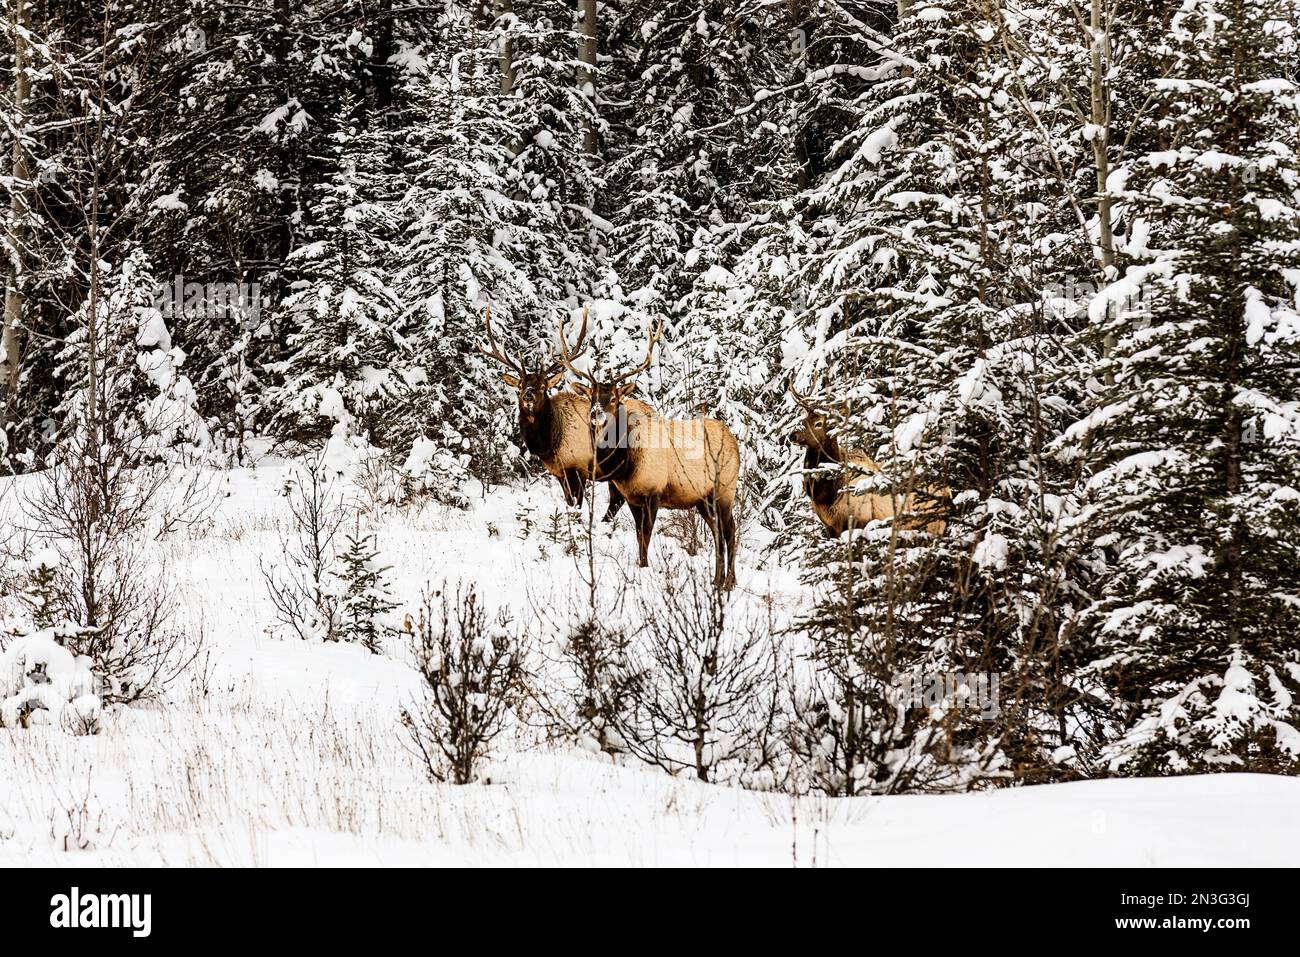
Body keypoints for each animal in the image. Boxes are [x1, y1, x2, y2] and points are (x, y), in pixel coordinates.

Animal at [480, 305, 650, 521]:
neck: (549, 443)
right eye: (520, 386)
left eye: (543, 386)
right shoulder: (559, 472)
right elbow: (569, 503)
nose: (528, 396)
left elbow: (577, 505)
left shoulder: (579, 468)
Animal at [559, 316, 741, 590]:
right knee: (719, 534)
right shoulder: (632, 497)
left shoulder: (653, 493)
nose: (595, 414)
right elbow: (639, 537)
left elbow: (646, 535)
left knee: (730, 532)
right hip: (703, 499)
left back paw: (728, 582)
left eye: (614, 398)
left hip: (724, 491)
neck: (624, 464)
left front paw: (644, 570)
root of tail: (736, 443)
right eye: (591, 396)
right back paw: (716, 580)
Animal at [787, 378, 945, 538]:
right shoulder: (829, 526)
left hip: (934, 524)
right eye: (804, 420)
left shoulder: (858, 520)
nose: (793, 435)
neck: (826, 495)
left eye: (818, 423)